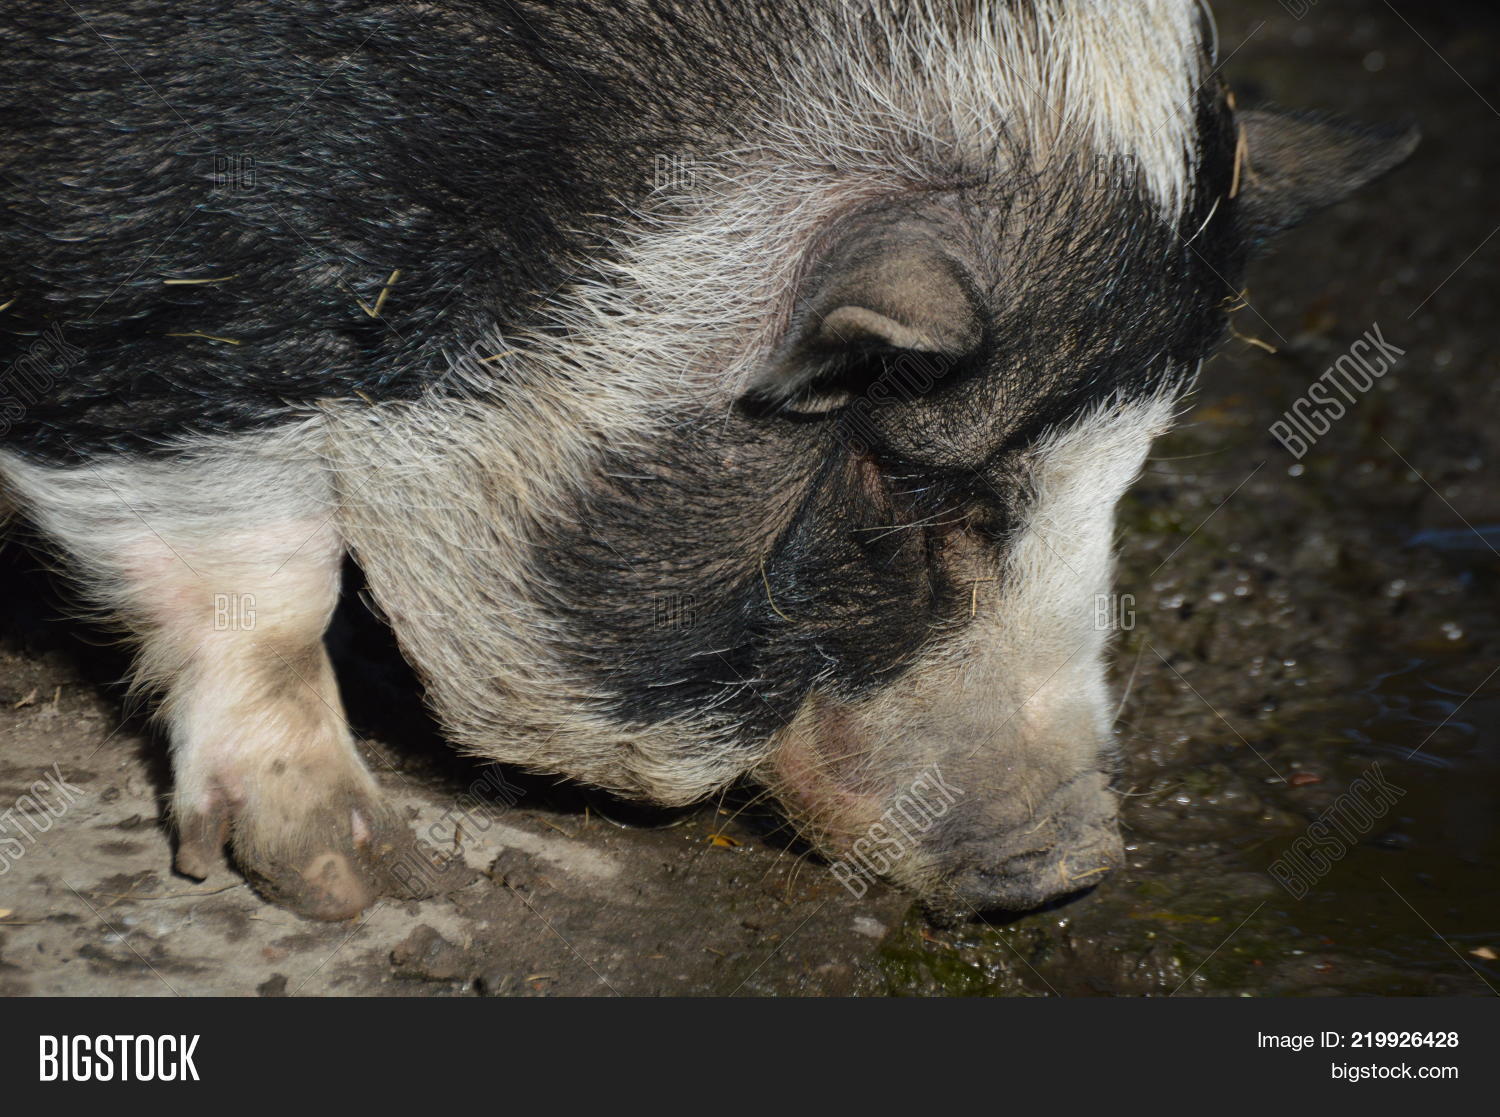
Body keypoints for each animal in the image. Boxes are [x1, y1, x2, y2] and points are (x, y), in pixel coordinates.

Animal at [0, 0, 1415, 921]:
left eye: (1127, 474)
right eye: (921, 482)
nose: (1078, 871)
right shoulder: (140, 253)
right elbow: (256, 556)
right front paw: (348, 879)